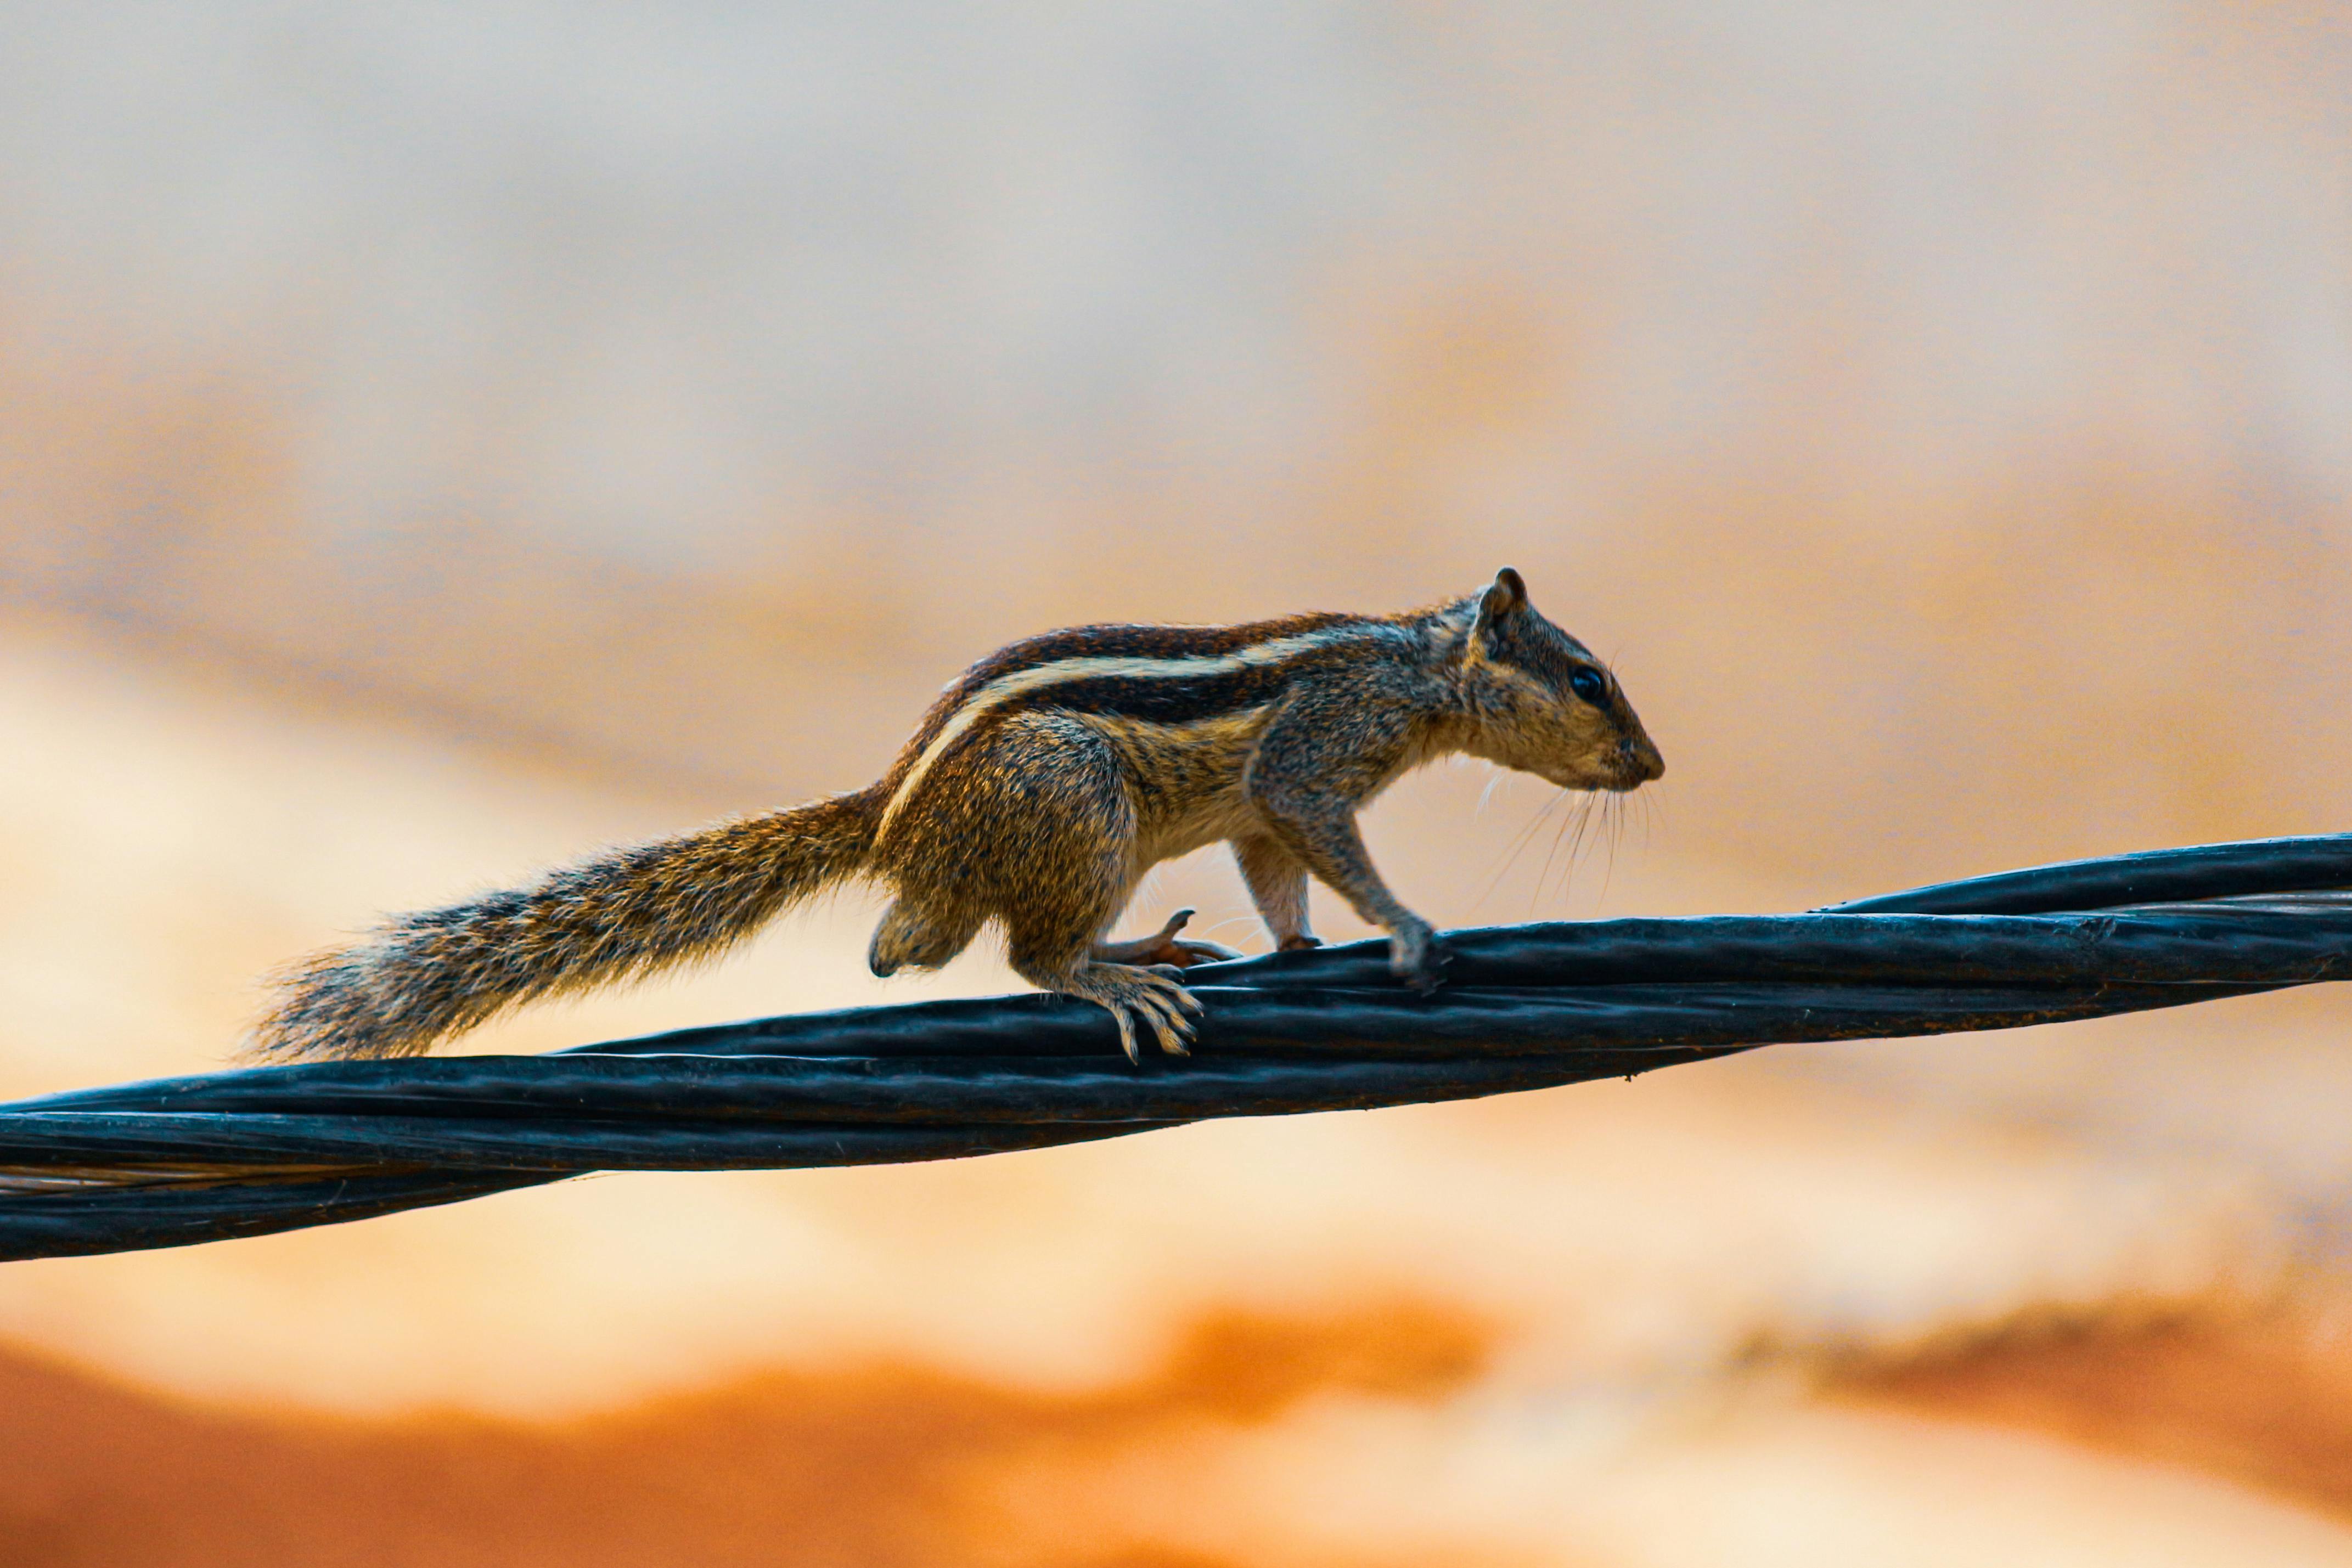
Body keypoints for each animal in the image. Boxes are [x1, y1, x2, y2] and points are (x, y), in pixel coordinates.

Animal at [253, 567, 1663, 1065]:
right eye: (1588, 678)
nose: (1651, 766)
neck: (1416, 669)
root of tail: (887, 818)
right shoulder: (1315, 758)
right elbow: (1315, 834)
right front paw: (1404, 929)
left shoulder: (1273, 815)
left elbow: (1276, 875)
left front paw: (1303, 945)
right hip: (1076, 800)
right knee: (1015, 954)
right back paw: (1113, 971)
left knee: (906, 947)